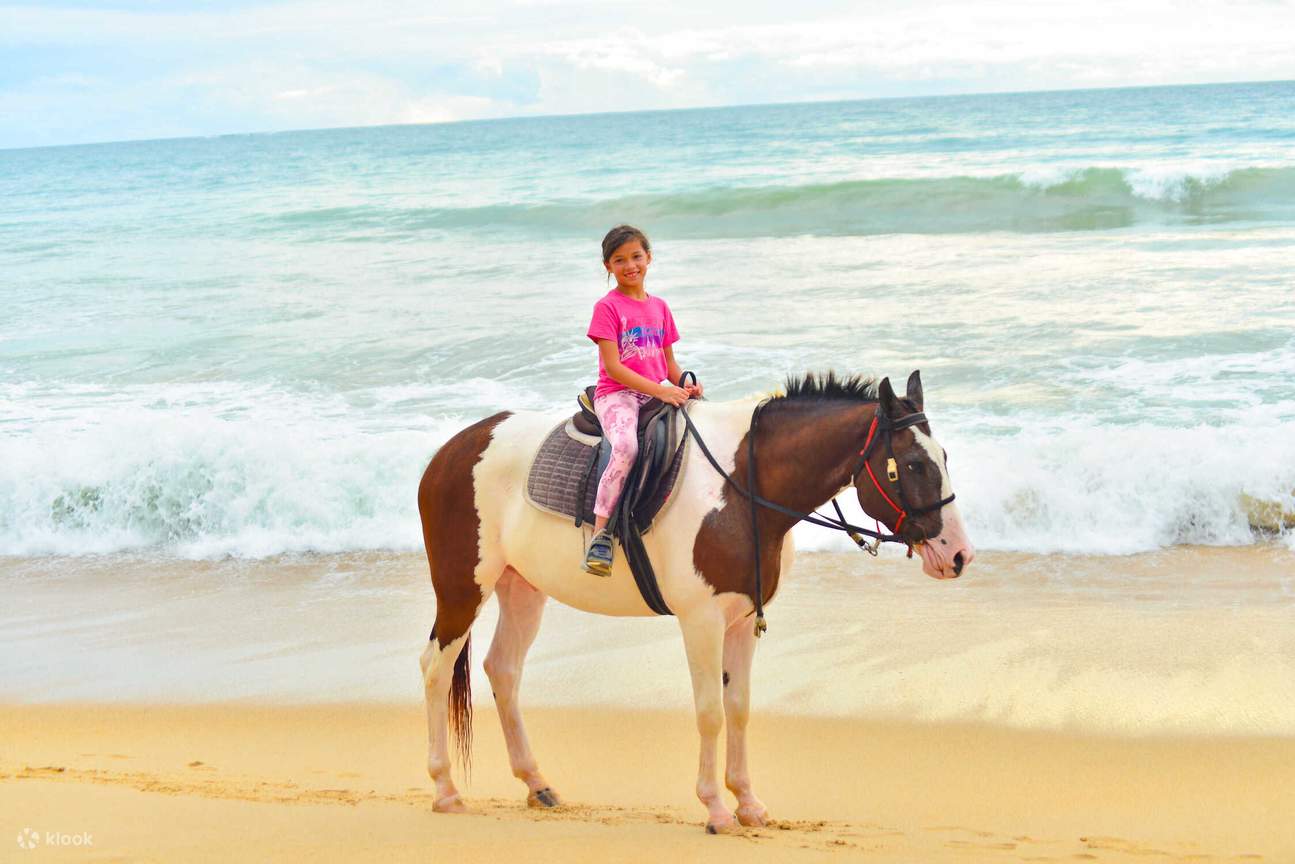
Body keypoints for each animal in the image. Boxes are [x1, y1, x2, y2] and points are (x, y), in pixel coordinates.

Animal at [416, 369, 975, 833]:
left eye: (946, 459)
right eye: (913, 464)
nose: (959, 554)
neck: (742, 486)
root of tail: (451, 452)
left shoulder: (742, 620)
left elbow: (739, 708)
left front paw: (748, 802)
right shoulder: (701, 620)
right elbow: (710, 712)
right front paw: (715, 808)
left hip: (523, 589)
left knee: (503, 669)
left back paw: (537, 783)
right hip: (463, 587)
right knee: (436, 668)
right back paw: (444, 789)